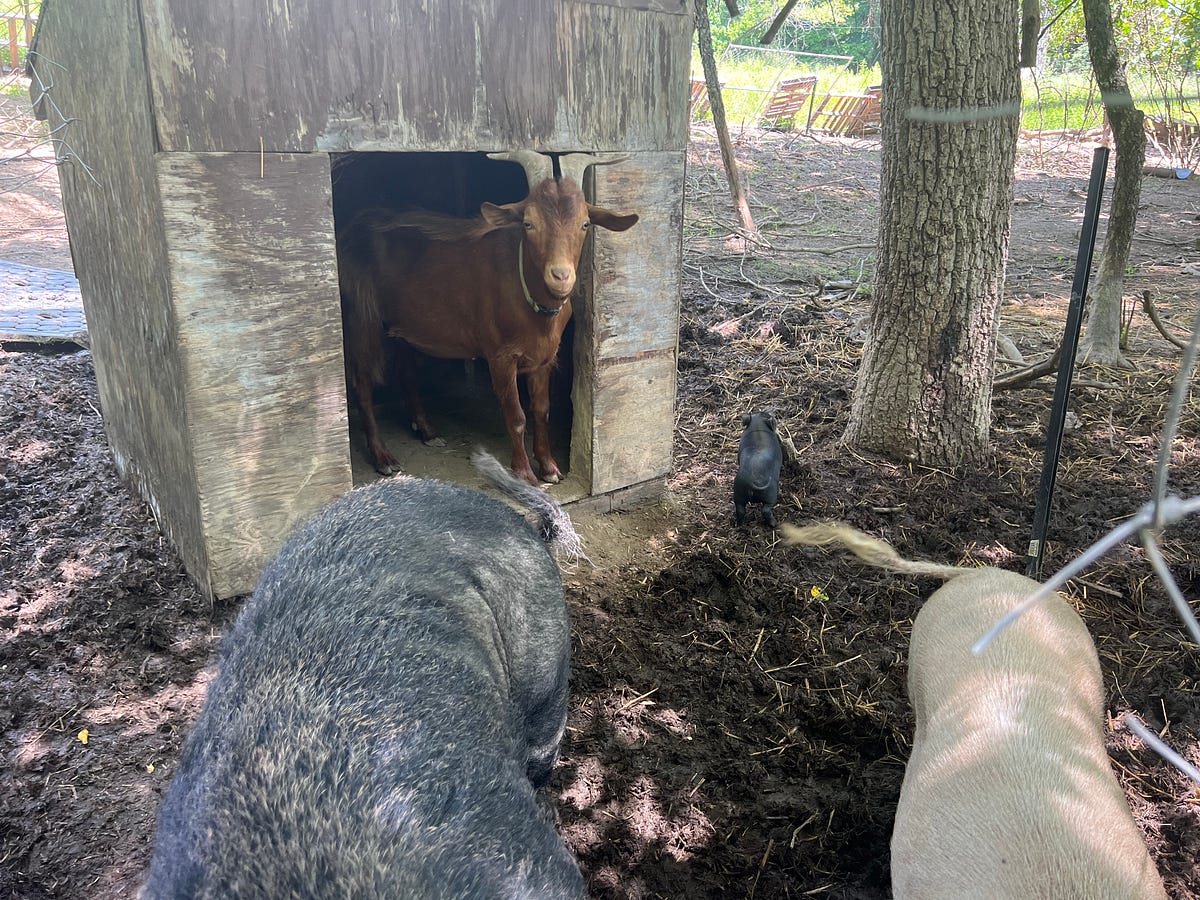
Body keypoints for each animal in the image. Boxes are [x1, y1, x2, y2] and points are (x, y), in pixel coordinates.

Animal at [338, 150, 638, 484]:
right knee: (362, 383)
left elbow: (541, 410)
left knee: (405, 369)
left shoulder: (545, 357)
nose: (561, 276)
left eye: (585, 223)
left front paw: (549, 467)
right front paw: (524, 473)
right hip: (360, 317)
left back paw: (427, 430)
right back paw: (383, 457)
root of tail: (352, 227)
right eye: (528, 224)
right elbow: (516, 416)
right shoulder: (500, 357)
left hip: (401, 321)